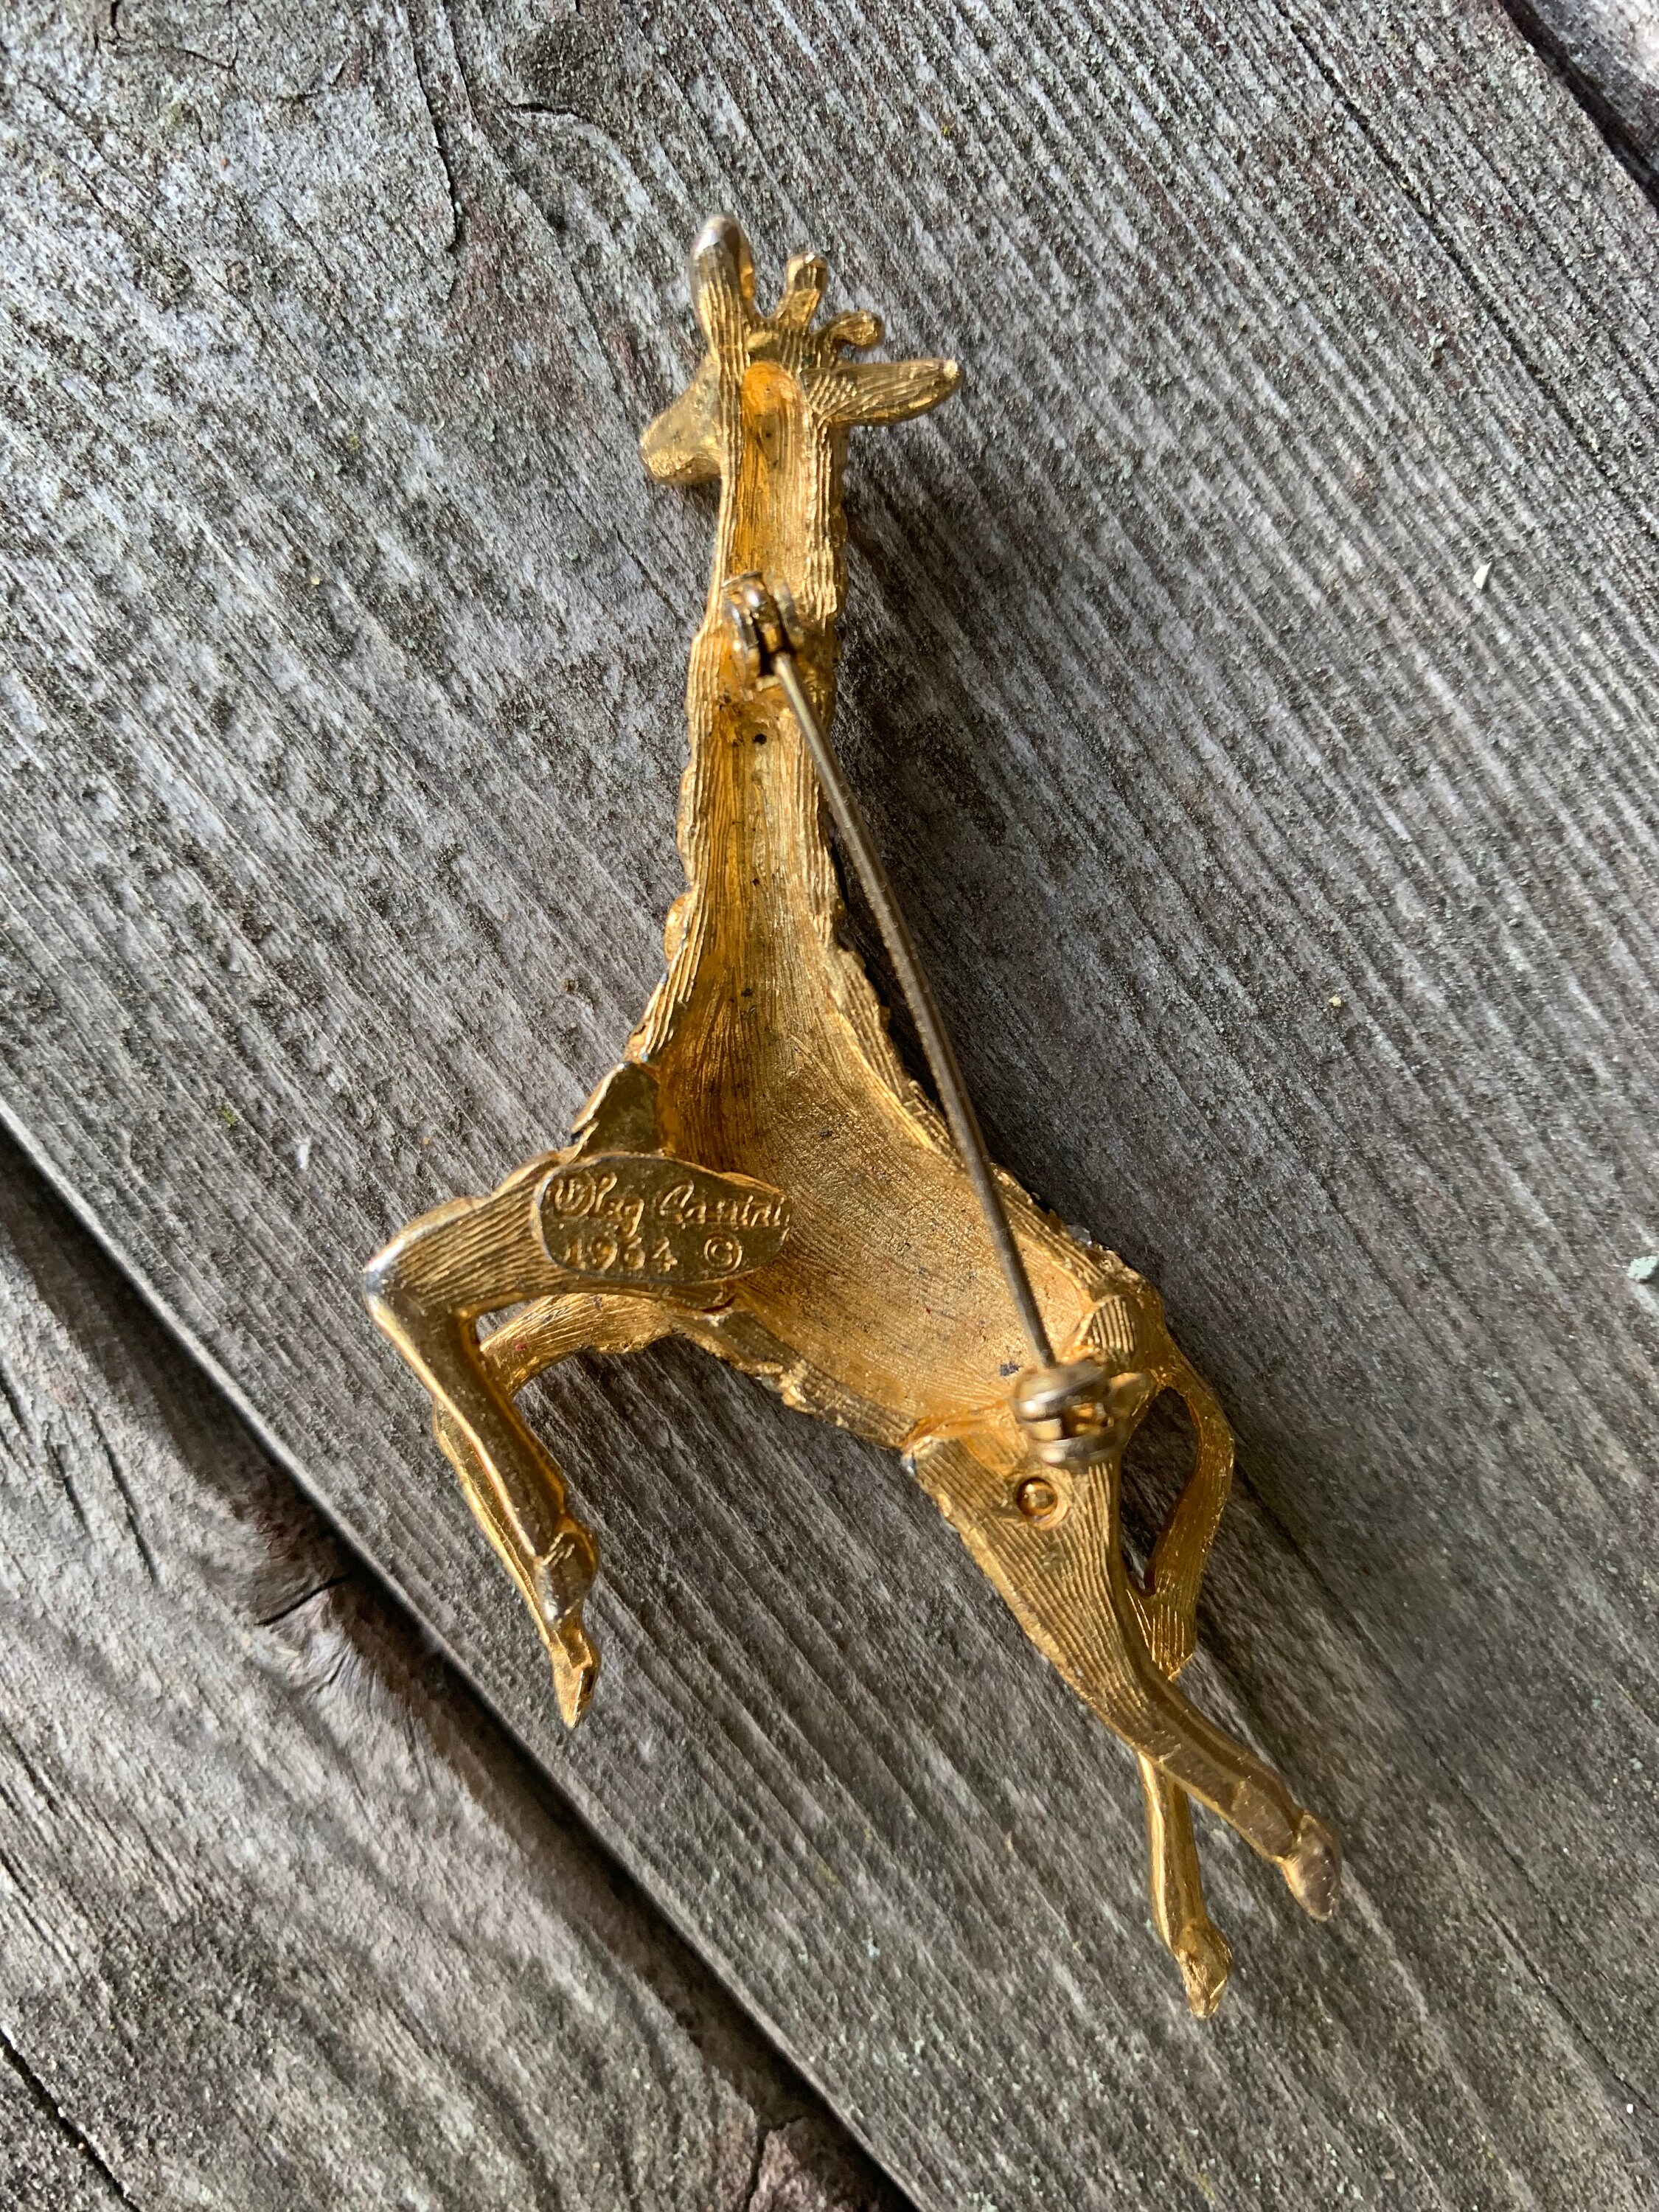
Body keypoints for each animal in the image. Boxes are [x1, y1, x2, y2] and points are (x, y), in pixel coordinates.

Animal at [364, 215, 1338, 2015]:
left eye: (708, 376)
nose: (656, 447)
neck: (741, 965)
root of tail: (1148, 1358)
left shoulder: (591, 1188)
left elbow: (403, 1279)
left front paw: (559, 1583)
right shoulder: (673, 1288)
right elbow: (502, 1353)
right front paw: (559, 1588)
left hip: (1018, 1510)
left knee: (1182, 1730)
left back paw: (1279, 1893)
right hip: (1061, 1511)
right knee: (1166, 1680)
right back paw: (1196, 1945)